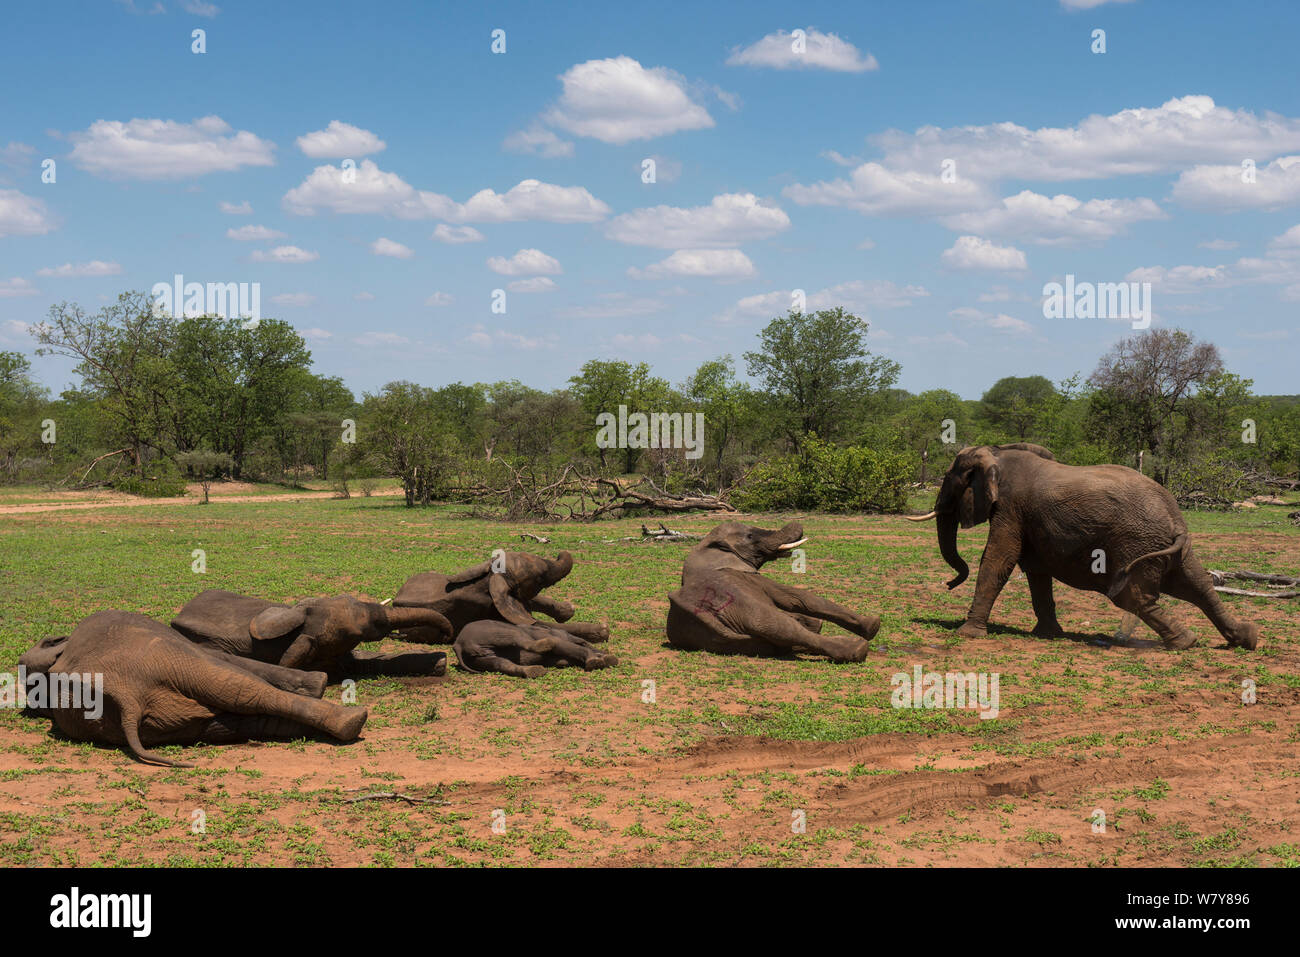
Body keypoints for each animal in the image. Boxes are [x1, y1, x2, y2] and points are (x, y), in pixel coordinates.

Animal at [18, 612, 367, 767]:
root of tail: (126, 699)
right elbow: (226, 661)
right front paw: (318, 683)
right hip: (164, 659)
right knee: (239, 689)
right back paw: (353, 720)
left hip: (156, 721)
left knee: (232, 721)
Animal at [392, 551, 609, 644]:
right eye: (540, 578)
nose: (557, 553)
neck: (491, 579)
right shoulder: (488, 609)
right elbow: (537, 624)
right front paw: (602, 631)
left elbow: (528, 602)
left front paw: (568, 609)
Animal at [452, 620, 619, 679]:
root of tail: (458, 644)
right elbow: (564, 645)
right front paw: (600, 660)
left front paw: (606, 658)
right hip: (493, 630)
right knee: (518, 637)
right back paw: (546, 645)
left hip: (477, 658)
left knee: (500, 663)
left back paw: (535, 671)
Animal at [666, 521, 881, 662]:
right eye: (750, 536)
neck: (704, 546)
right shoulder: (750, 576)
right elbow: (796, 598)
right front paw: (873, 624)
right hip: (744, 608)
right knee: (780, 627)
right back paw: (857, 648)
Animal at [909, 443, 1261, 650]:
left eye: (949, 479)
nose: (948, 583)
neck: (997, 453)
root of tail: (1174, 517)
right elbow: (1036, 572)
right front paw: (1049, 634)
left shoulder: (1010, 507)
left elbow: (998, 560)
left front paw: (966, 634)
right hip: (1171, 547)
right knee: (1199, 586)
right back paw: (1243, 638)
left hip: (1136, 543)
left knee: (1132, 596)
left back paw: (1184, 643)